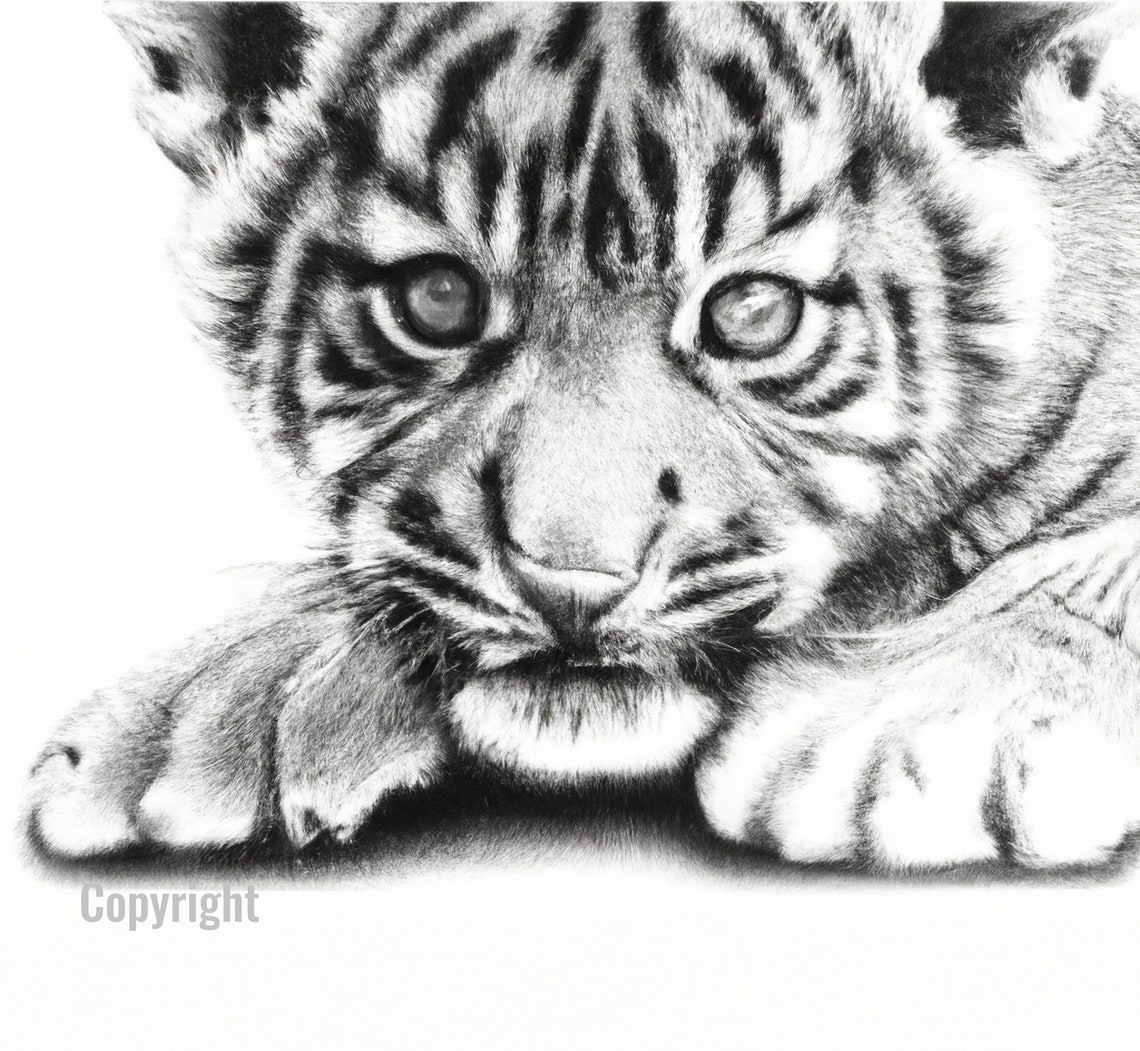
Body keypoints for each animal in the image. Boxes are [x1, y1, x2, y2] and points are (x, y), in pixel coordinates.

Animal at [23, 0, 1140, 872]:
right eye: (437, 299)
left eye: (754, 311)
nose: (569, 584)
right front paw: (202, 712)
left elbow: (1101, 562)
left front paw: (900, 728)